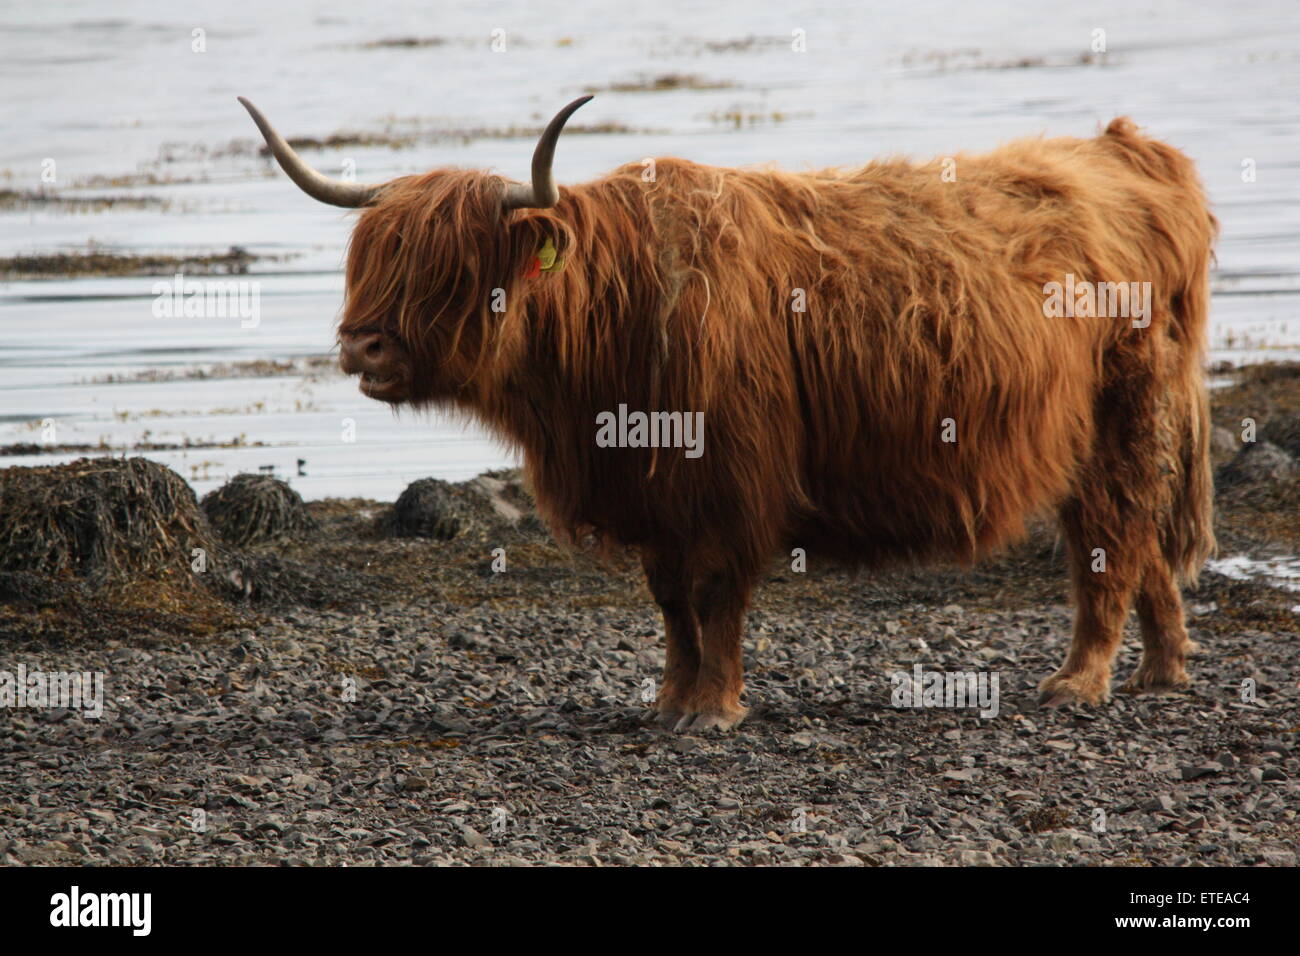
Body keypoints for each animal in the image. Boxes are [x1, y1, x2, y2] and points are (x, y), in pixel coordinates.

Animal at [240, 95, 1217, 732]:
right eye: (371, 254)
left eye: (449, 264)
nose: (362, 345)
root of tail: (1125, 154)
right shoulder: (652, 496)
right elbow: (671, 601)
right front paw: (670, 700)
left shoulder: (731, 480)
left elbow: (716, 596)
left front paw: (713, 709)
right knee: (1137, 544)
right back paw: (1162, 672)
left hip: (1122, 415)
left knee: (1113, 541)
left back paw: (1081, 681)